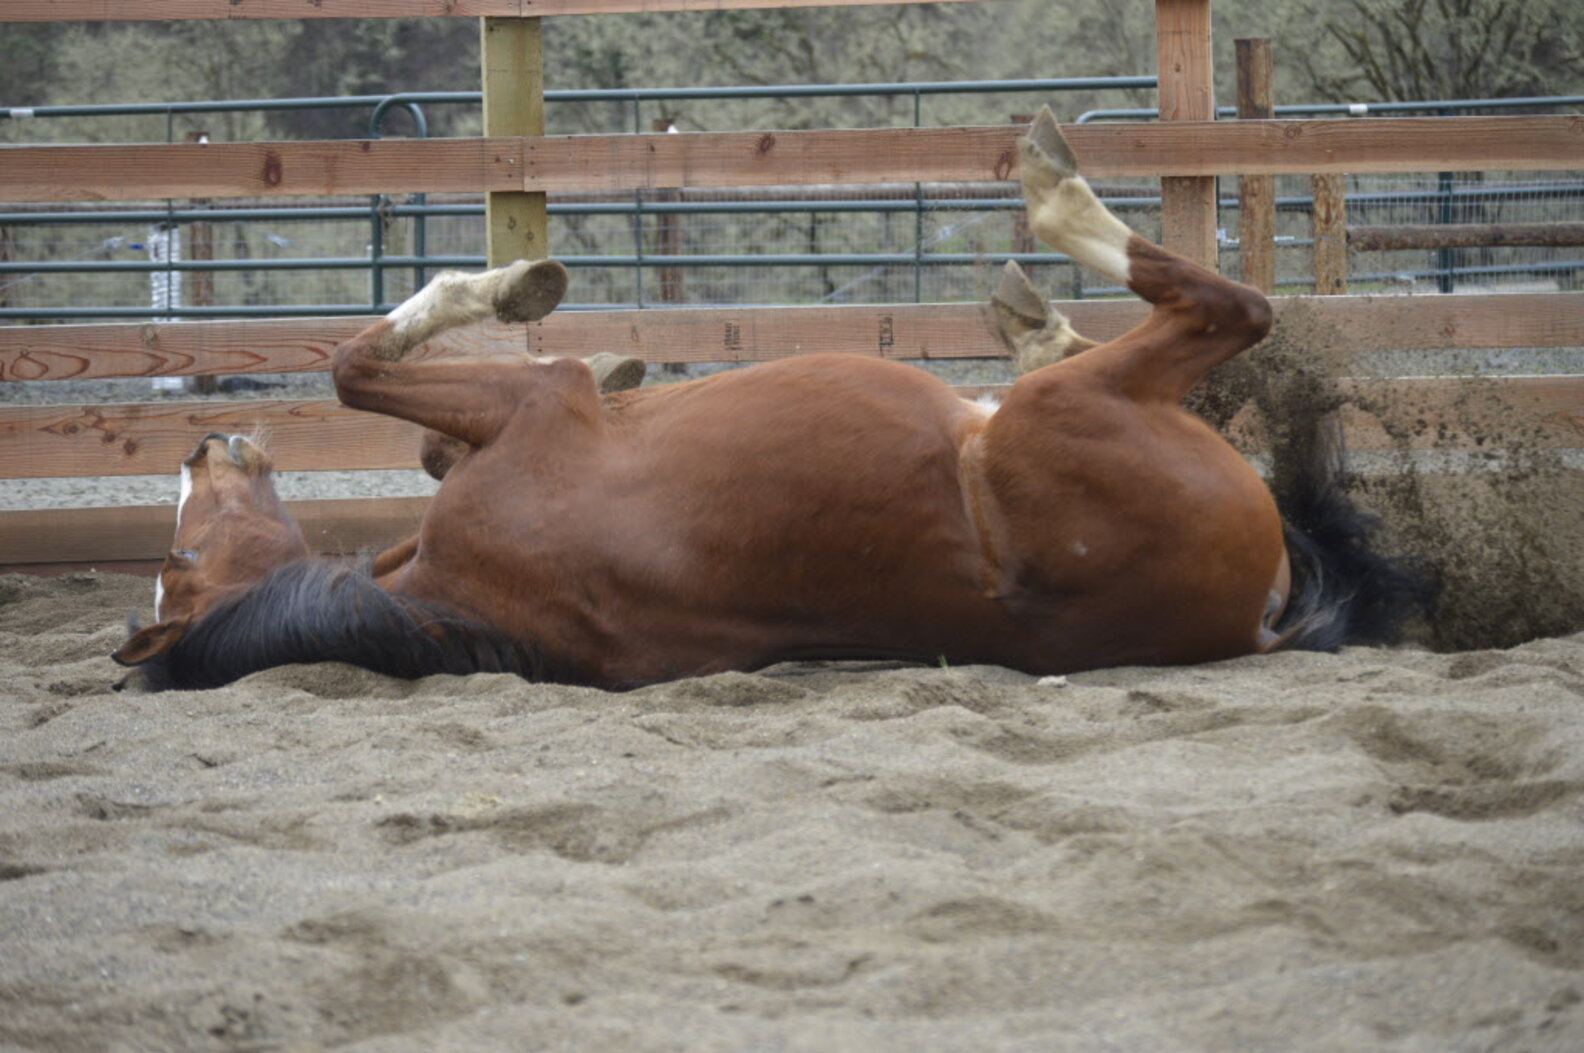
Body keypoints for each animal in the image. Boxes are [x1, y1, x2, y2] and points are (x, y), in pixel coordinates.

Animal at [113, 109, 1425, 691]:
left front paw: (624, 362)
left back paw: (1031, 302)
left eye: (178, 557)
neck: (449, 589)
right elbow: (358, 365)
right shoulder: (533, 402)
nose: (200, 448)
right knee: (1220, 312)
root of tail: (1255, 616)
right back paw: (1046, 221)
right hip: (1078, 413)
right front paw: (526, 283)